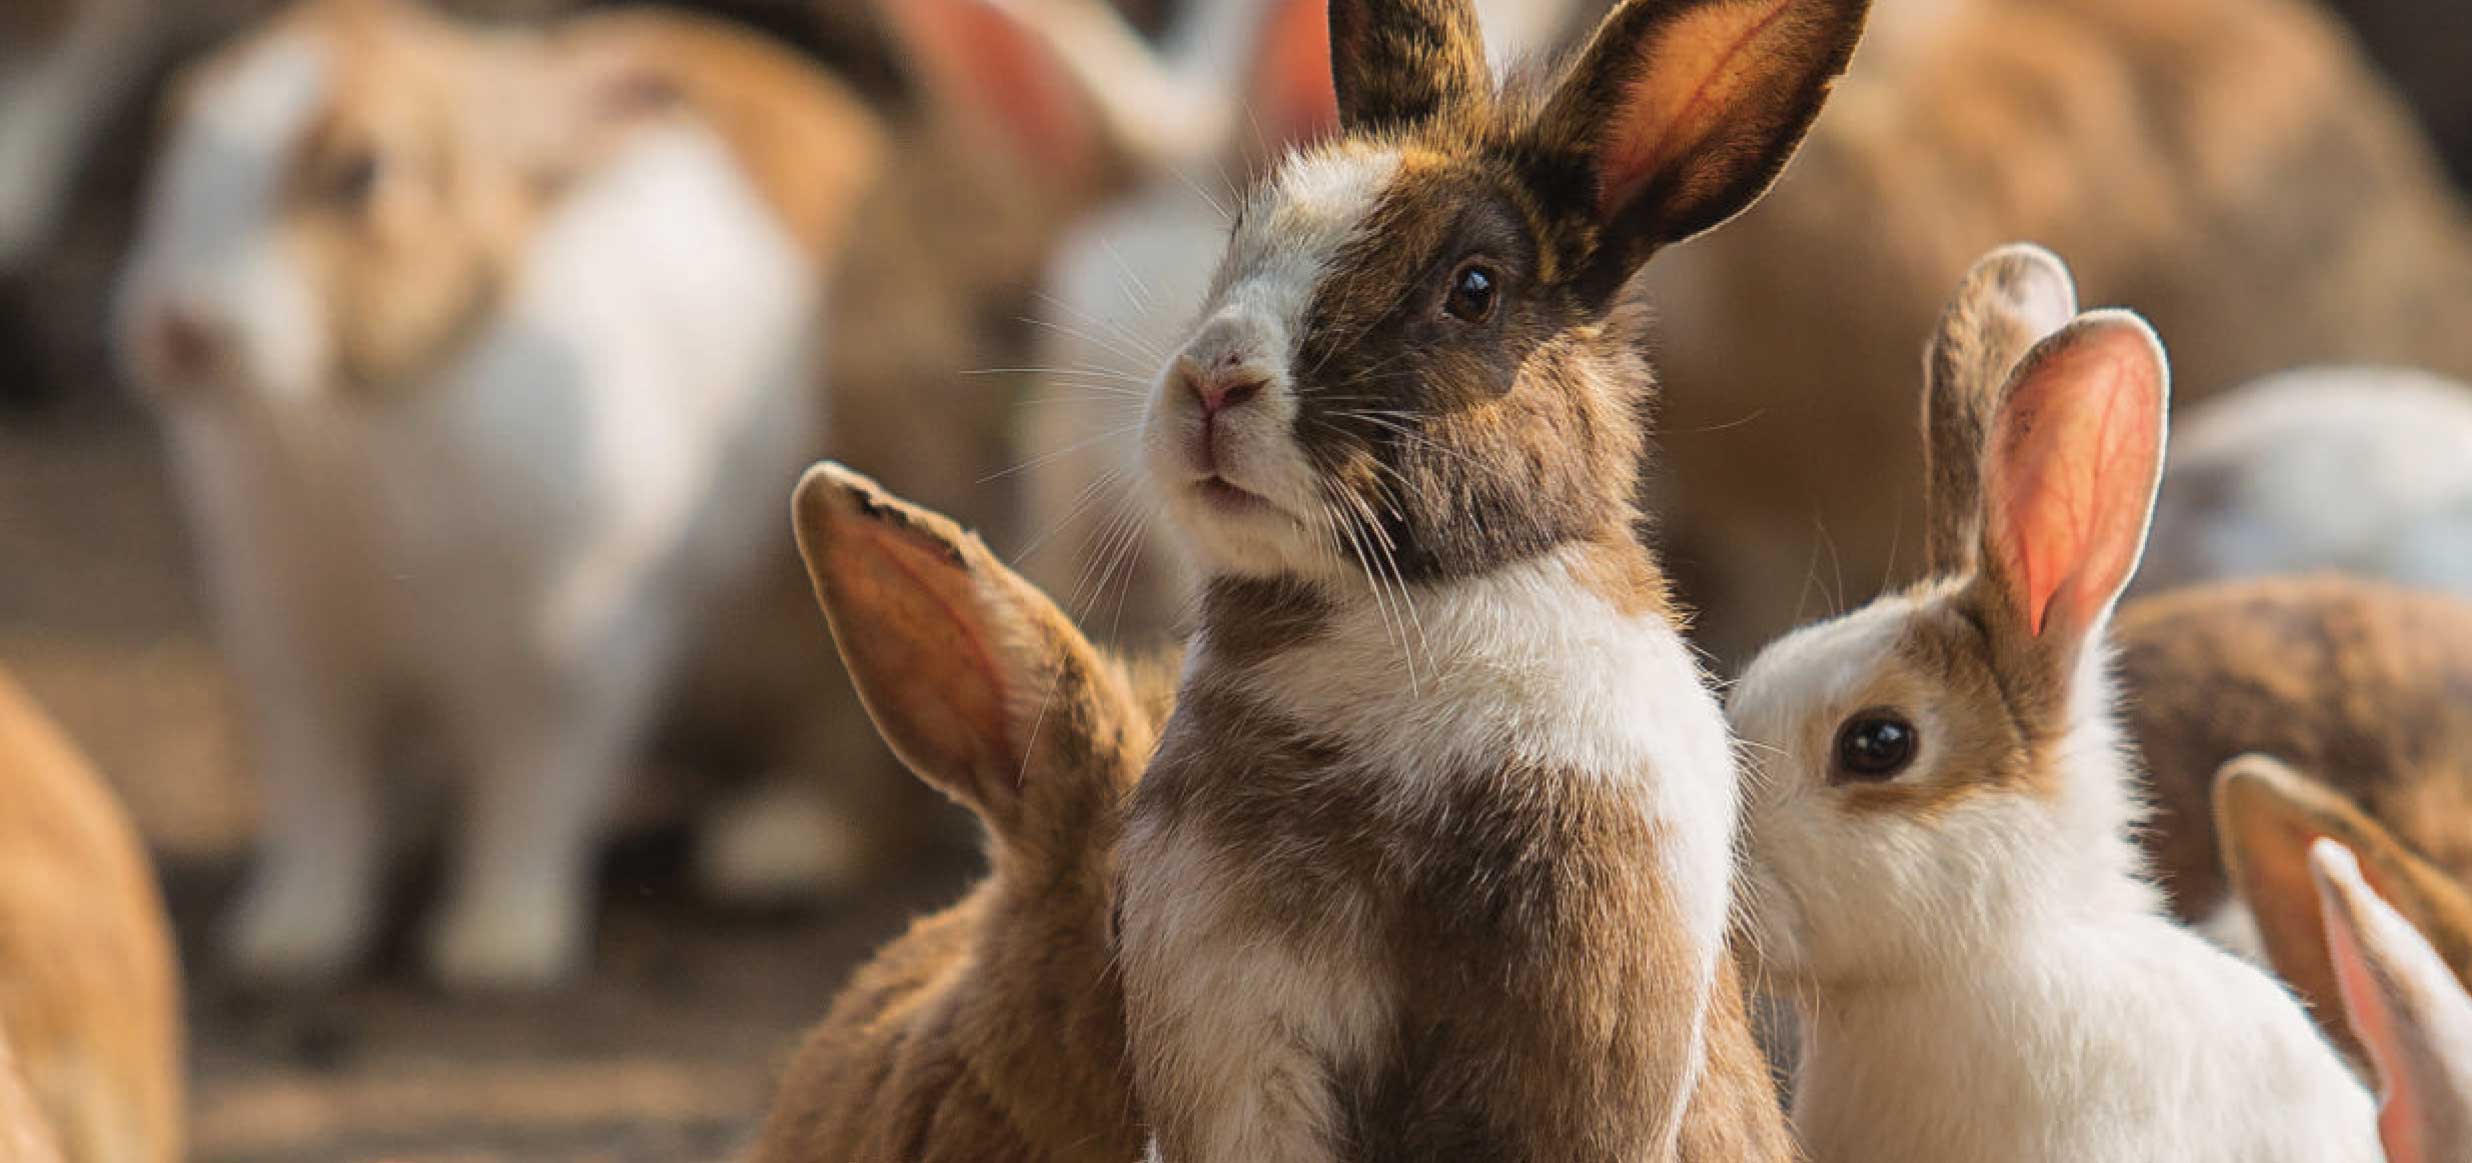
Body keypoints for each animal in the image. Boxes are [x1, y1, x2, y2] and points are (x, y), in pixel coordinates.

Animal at [113, 0, 894, 987]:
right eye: (171, 132)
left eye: (365, 172)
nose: (176, 329)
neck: (361, 420)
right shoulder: (298, 659)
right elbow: (323, 805)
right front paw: (287, 940)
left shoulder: (567, 664)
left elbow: (530, 800)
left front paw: (494, 948)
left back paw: (773, 851)